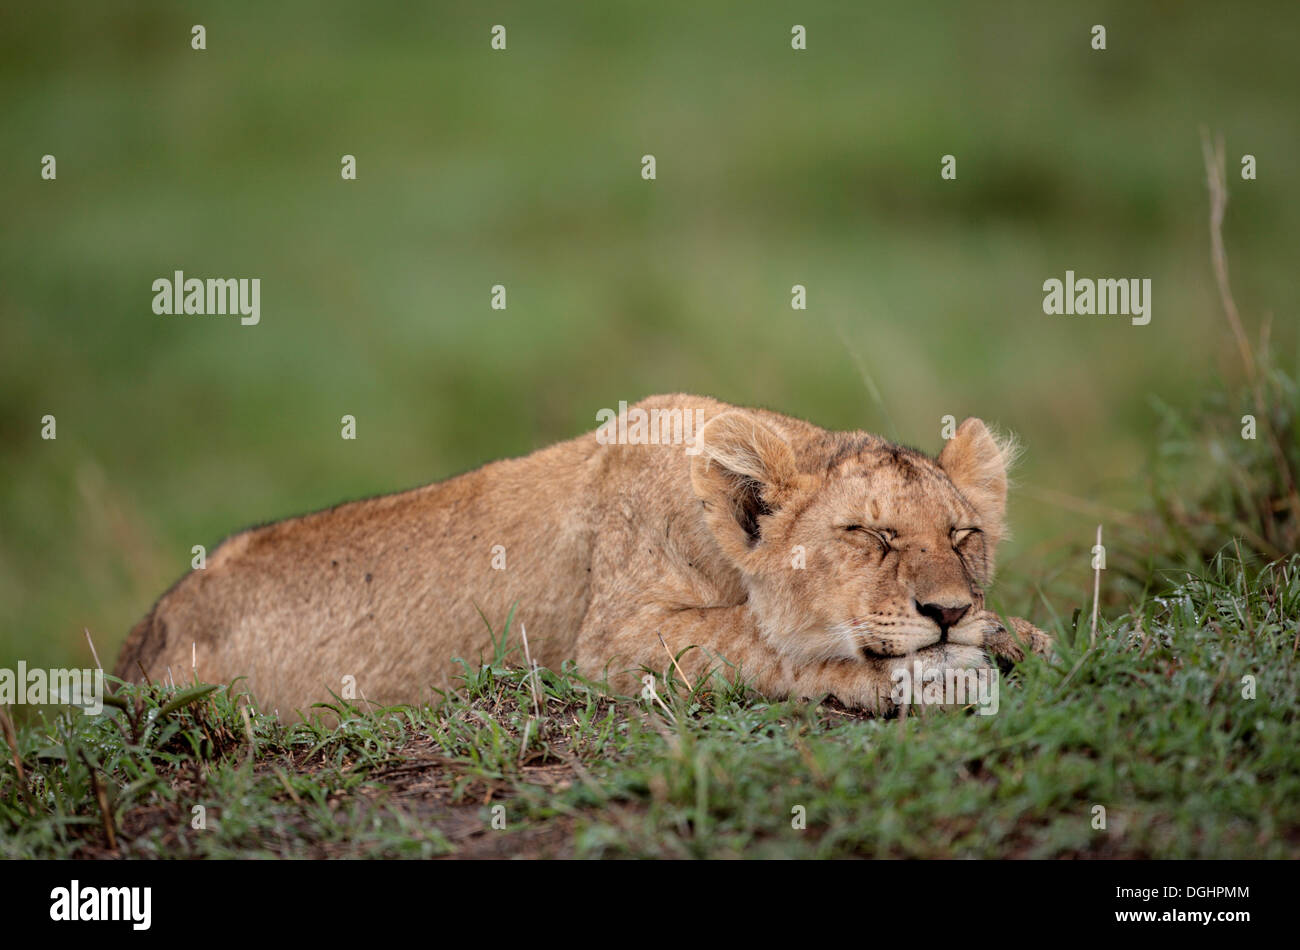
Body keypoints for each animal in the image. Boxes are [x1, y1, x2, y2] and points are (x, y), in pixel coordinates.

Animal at [115, 394, 1051, 717]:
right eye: (870, 534)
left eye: (963, 536)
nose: (948, 610)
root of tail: (141, 636)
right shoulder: (611, 643)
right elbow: (756, 642)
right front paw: (930, 672)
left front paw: (1012, 634)